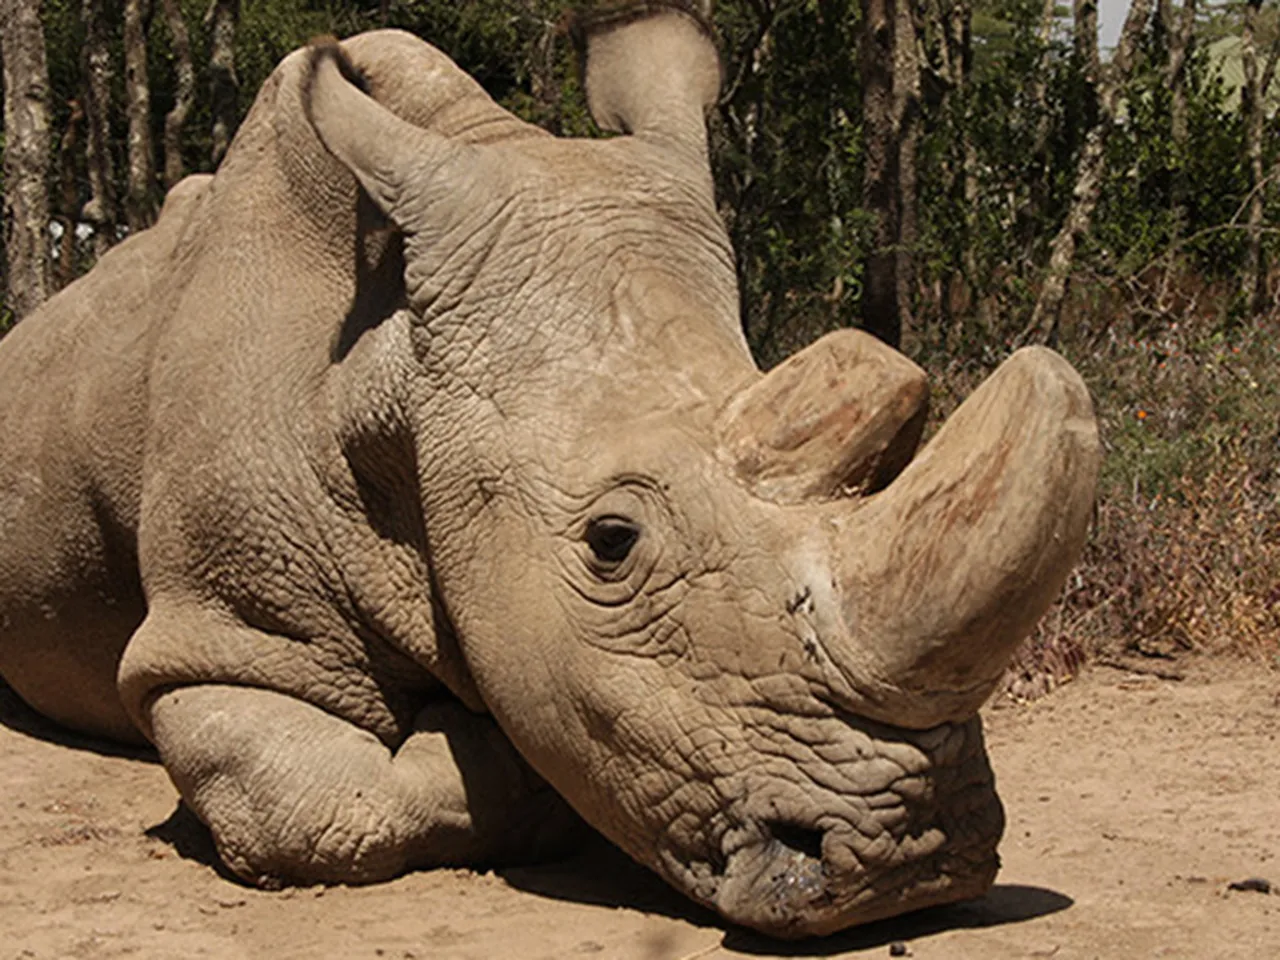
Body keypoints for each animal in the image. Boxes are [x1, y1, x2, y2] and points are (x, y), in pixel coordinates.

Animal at [0, 2, 1099, 939]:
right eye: (612, 543)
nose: (915, 861)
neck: (393, 383)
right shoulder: (225, 635)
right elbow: (317, 810)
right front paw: (489, 754)